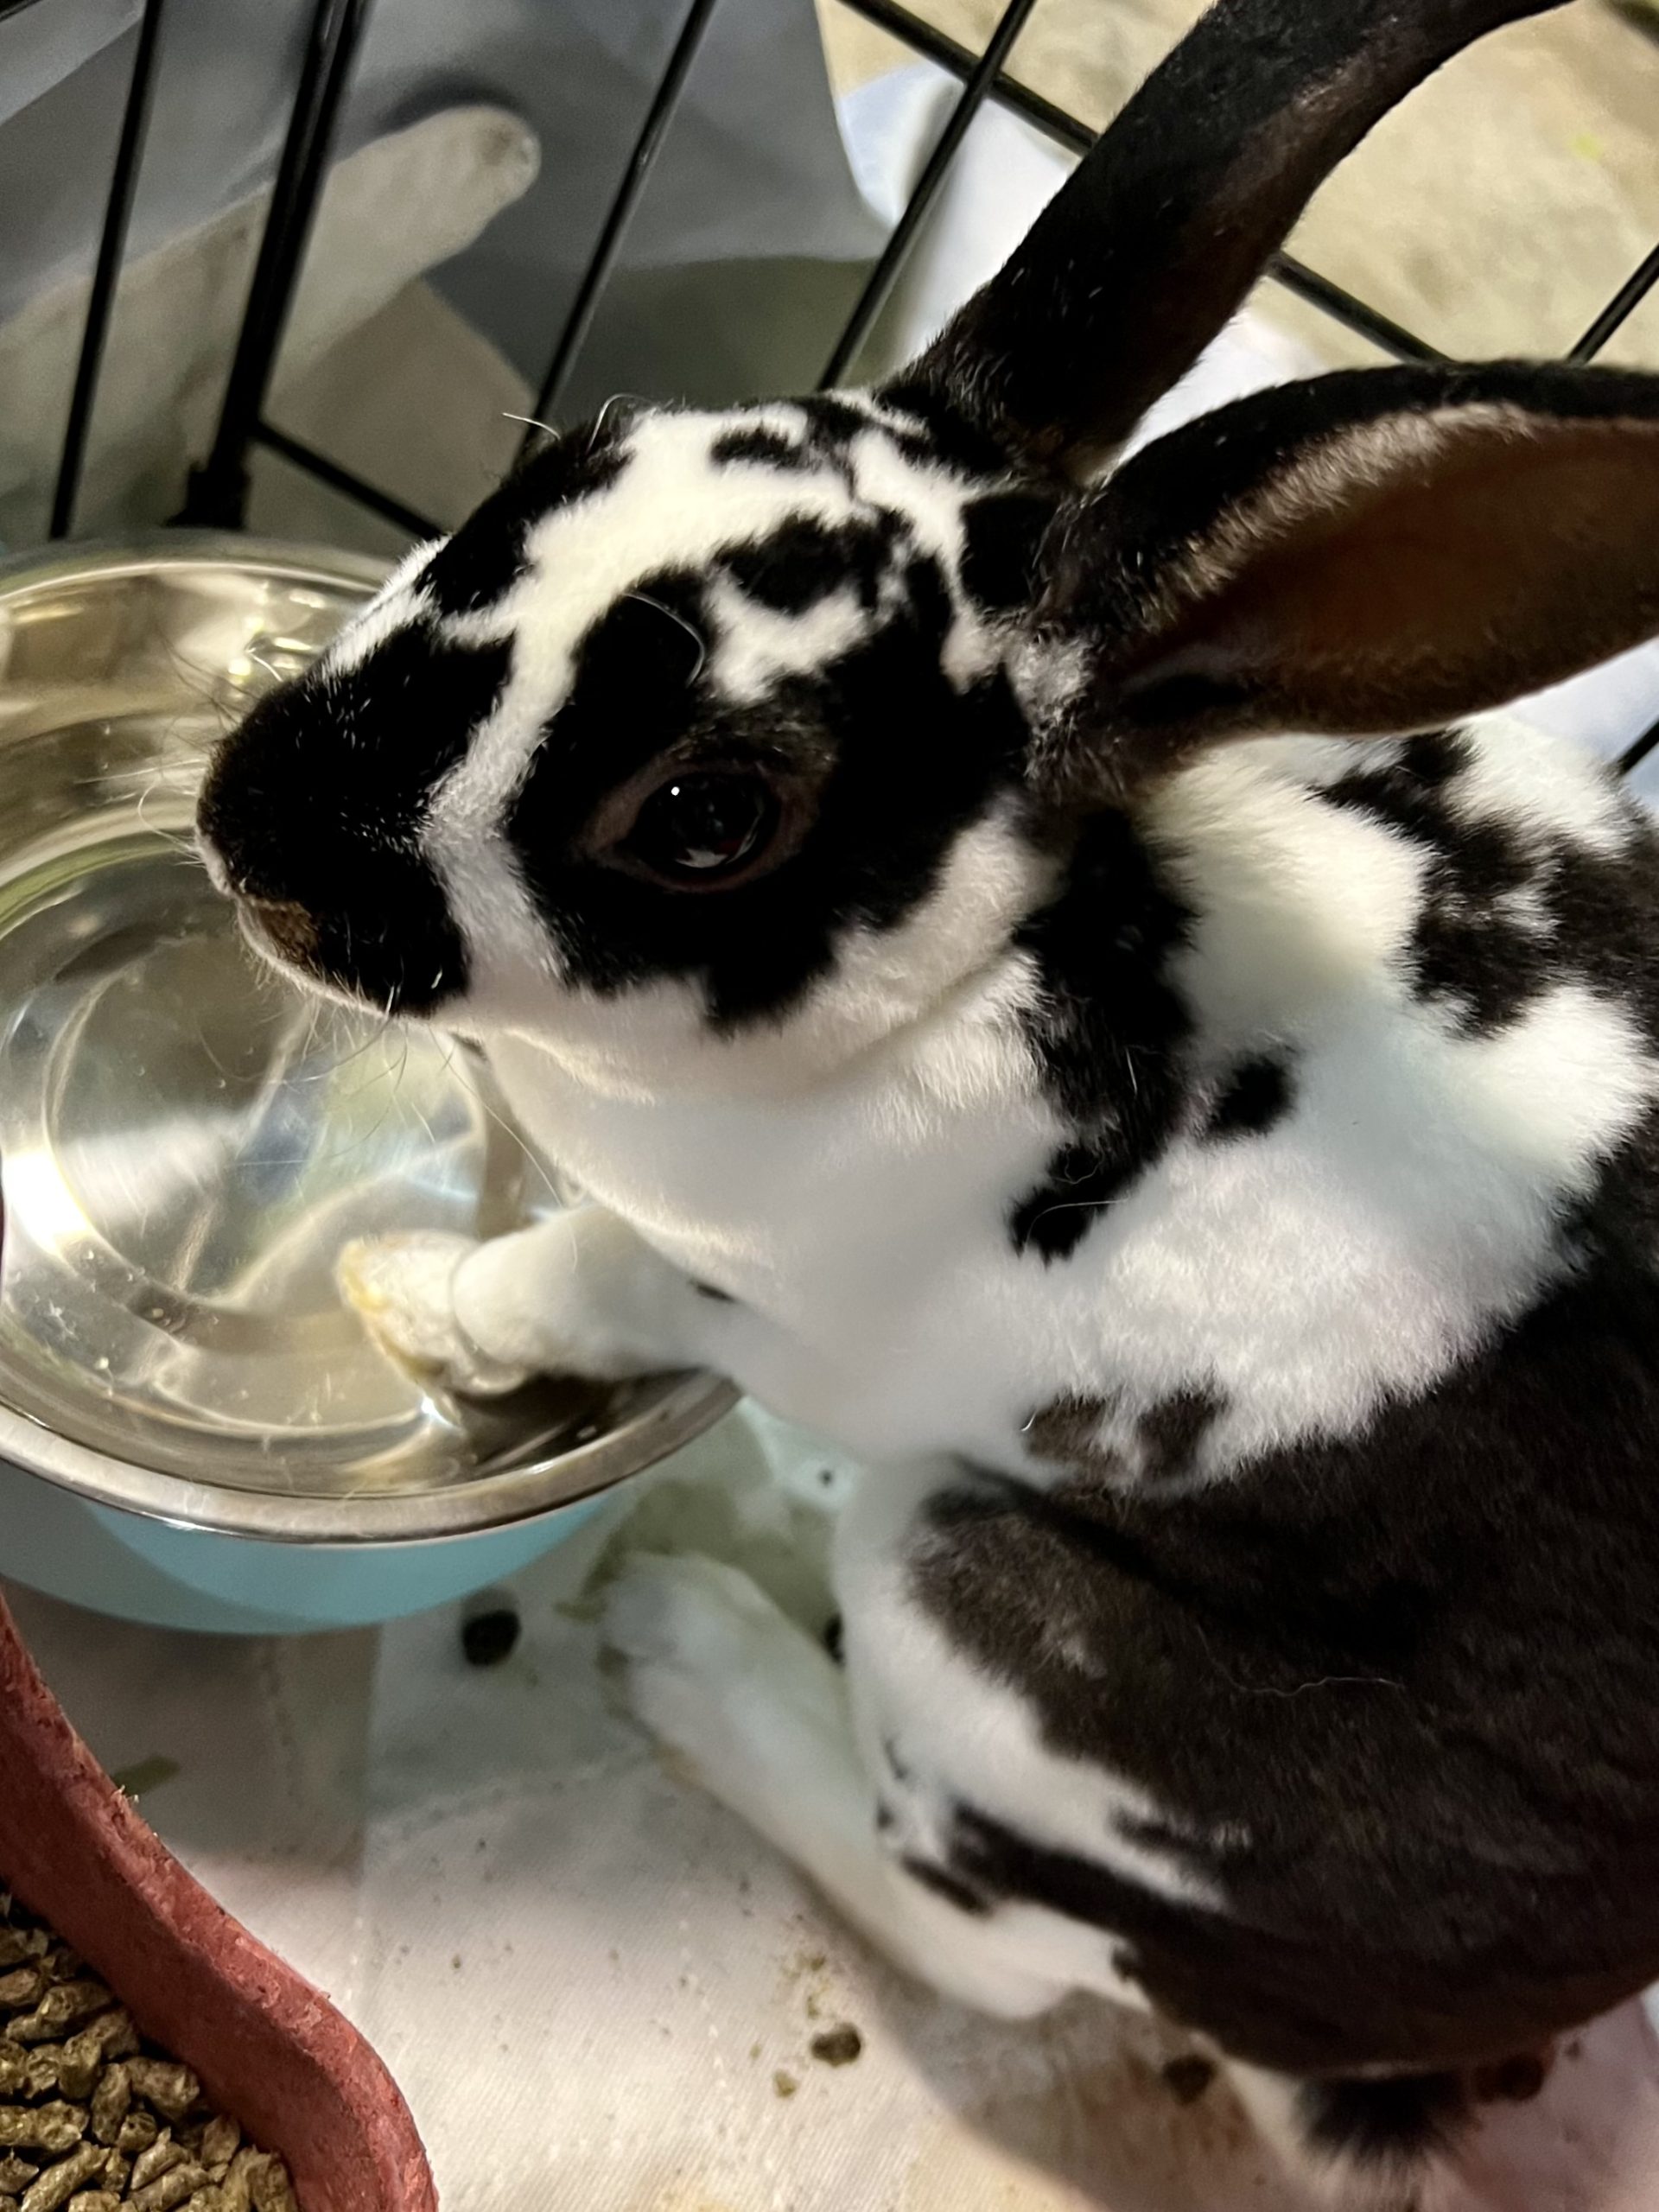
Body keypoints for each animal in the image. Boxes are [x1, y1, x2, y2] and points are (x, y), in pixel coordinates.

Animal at [195, 0, 1659, 2199]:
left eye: (708, 815)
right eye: (563, 458)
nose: (246, 823)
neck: (1026, 940)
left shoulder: (763, 1303)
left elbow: (574, 1285)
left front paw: (420, 1300)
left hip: (983, 1633)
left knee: (973, 1936)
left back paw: (691, 1648)